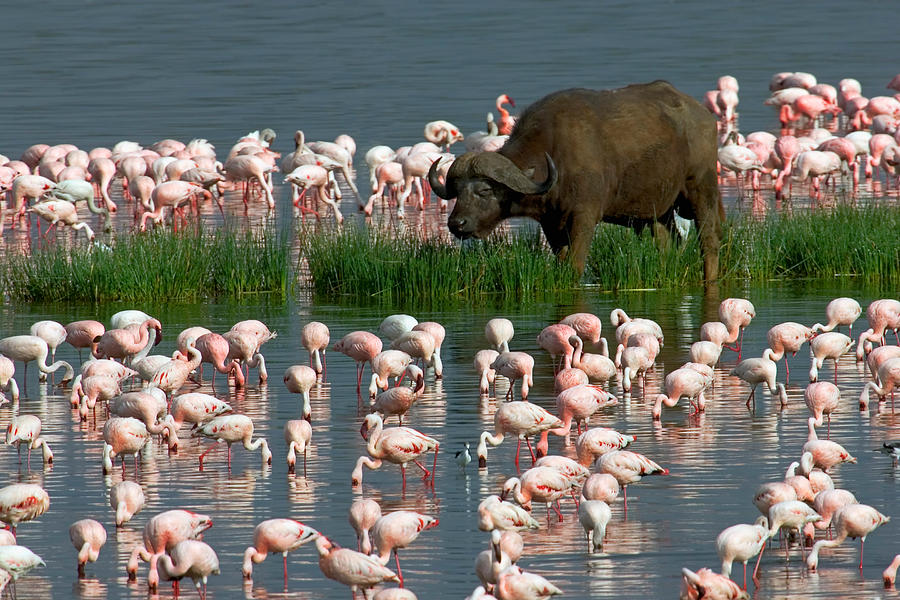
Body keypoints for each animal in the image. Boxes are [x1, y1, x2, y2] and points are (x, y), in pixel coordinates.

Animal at [428, 81, 724, 281]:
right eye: (457, 192)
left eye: (485, 190)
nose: (456, 224)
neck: (556, 155)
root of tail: (704, 117)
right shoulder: (551, 225)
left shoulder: (584, 217)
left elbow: (576, 265)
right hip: (659, 211)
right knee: (667, 245)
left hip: (702, 188)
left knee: (709, 240)